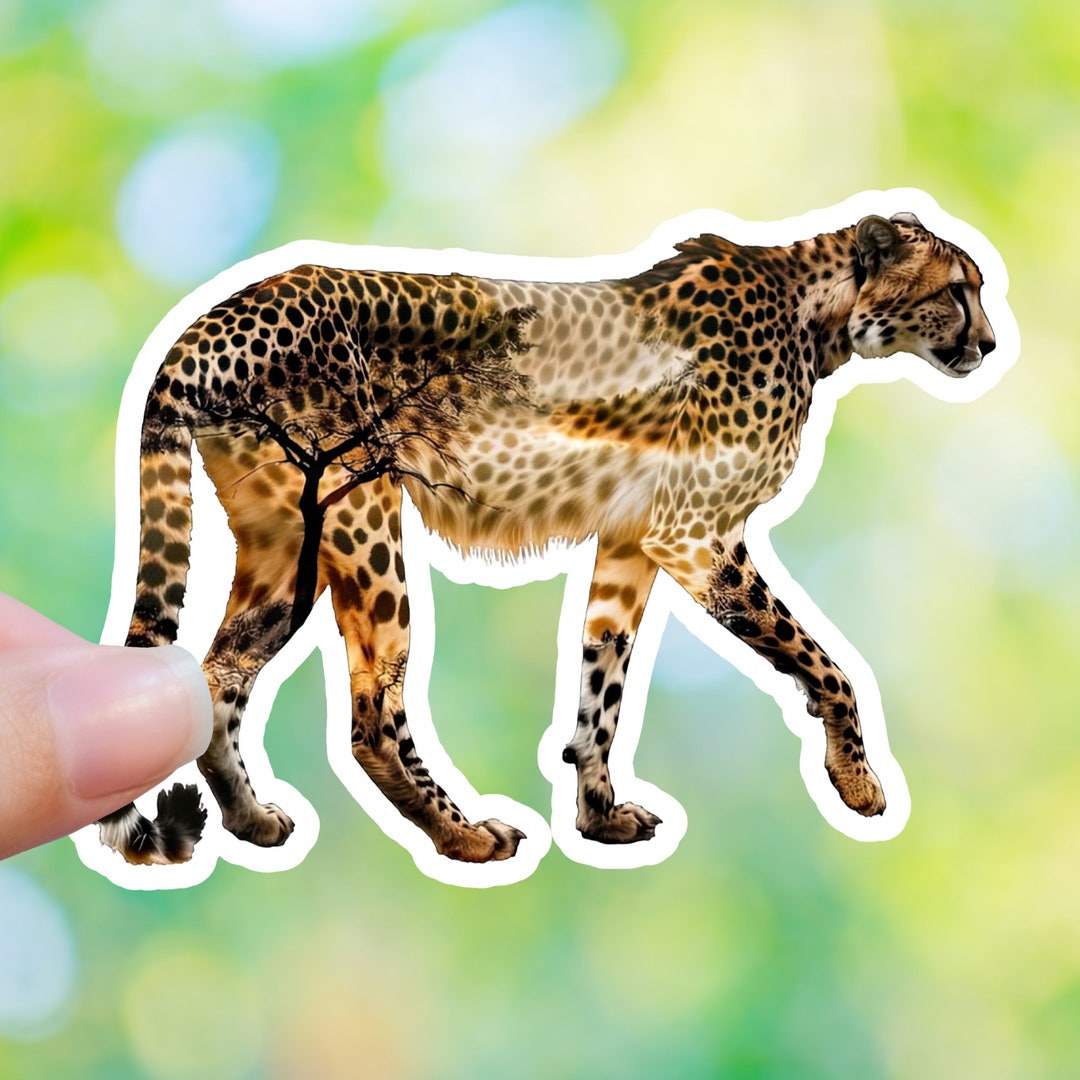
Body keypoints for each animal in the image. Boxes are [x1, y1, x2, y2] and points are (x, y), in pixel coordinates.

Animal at [97, 211, 997, 865]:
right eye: (959, 290)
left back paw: (252, 819)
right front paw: (857, 779)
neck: (819, 315)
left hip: (294, 540)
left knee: (219, 675)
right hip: (362, 517)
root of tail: (232, 304)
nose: (989, 345)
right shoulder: (695, 533)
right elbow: (825, 662)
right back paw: (462, 833)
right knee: (369, 714)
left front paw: (599, 817)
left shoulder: (634, 540)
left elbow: (604, 682)